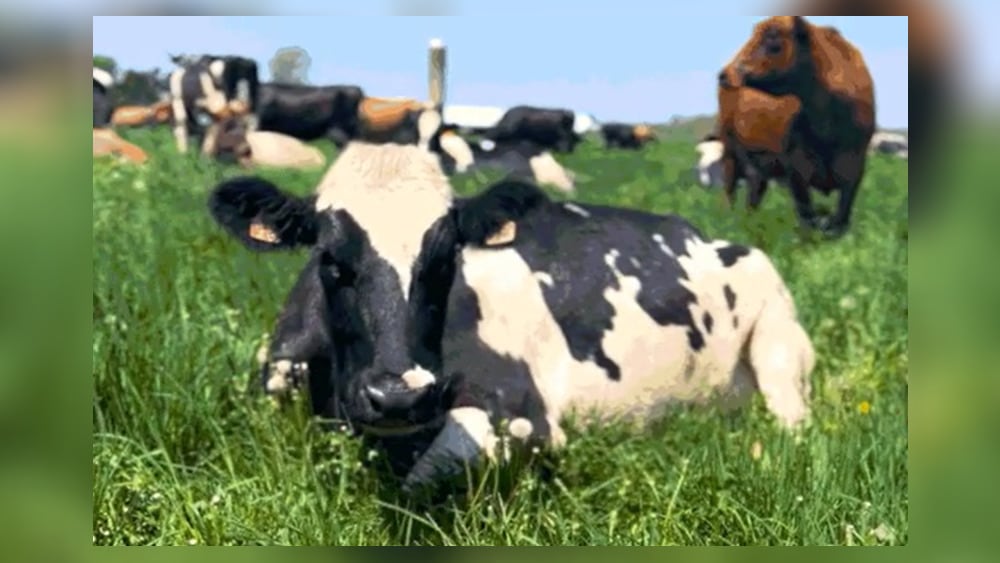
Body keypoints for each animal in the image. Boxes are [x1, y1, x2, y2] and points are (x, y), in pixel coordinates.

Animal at [206, 141, 816, 492]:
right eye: (329, 260)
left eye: (448, 257)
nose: (400, 395)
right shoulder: (275, 372)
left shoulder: (524, 415)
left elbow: (418, 482)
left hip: (779, 340)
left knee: (794, 424)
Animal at [726, 16, 877, 238]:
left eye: (773, 39)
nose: (725, 74)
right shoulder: (796, 169)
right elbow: (807, 214)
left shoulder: (855, 165)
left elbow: (841, 215)